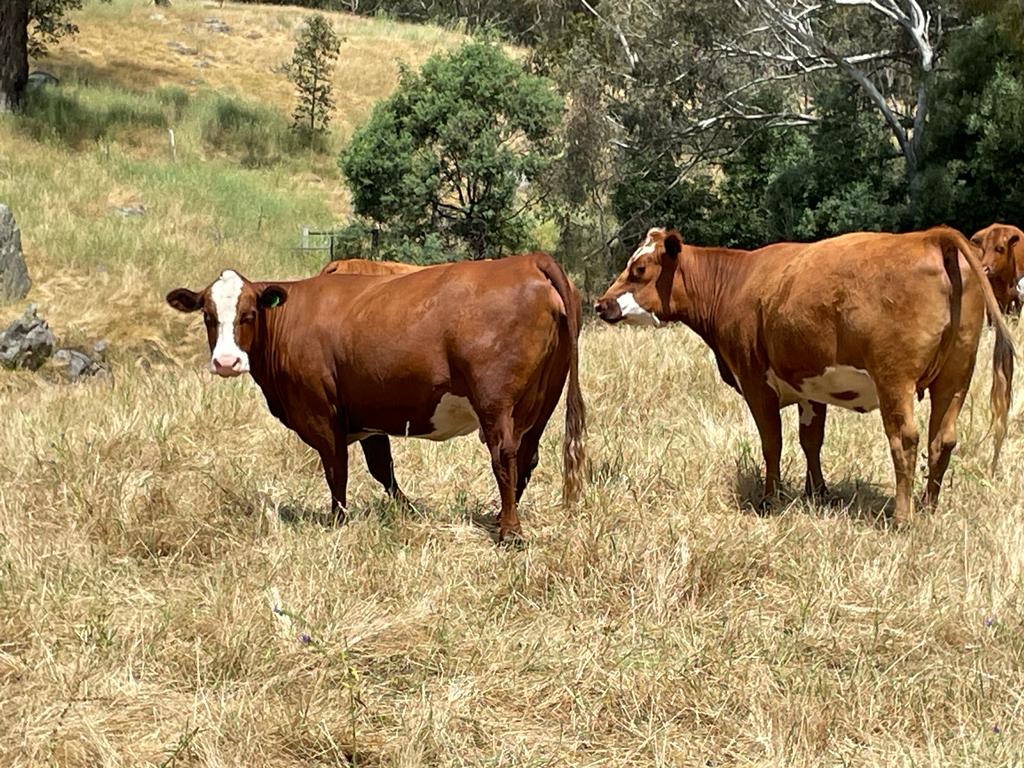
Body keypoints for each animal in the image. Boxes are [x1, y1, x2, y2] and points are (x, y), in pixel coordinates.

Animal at [166, 252, 586, 542]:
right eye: (207, 315)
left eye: (249, 313)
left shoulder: (320, 414)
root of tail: (527, 260)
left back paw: (509, 531)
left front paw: (337, 520)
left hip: (495, 401)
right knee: (527, 457)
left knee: (505, 456)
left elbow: (336, 468)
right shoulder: (368, 415)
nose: (226, 361)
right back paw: (501, 516)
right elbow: (382, 467)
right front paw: (408, 510)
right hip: (543, 398)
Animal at [594, 227, 1014, 526]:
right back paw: (929, 507)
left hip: (895, 378)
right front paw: (817, 492)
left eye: (639, 270)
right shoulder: (811, 387)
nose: (601, 303)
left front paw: (770, 499)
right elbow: (811, 440)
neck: (736, 283)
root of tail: (931, 235)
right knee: (942, 439)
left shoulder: (755, 383)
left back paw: (903, 517)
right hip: (956, 376)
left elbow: (772, 443)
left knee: (905, 439)